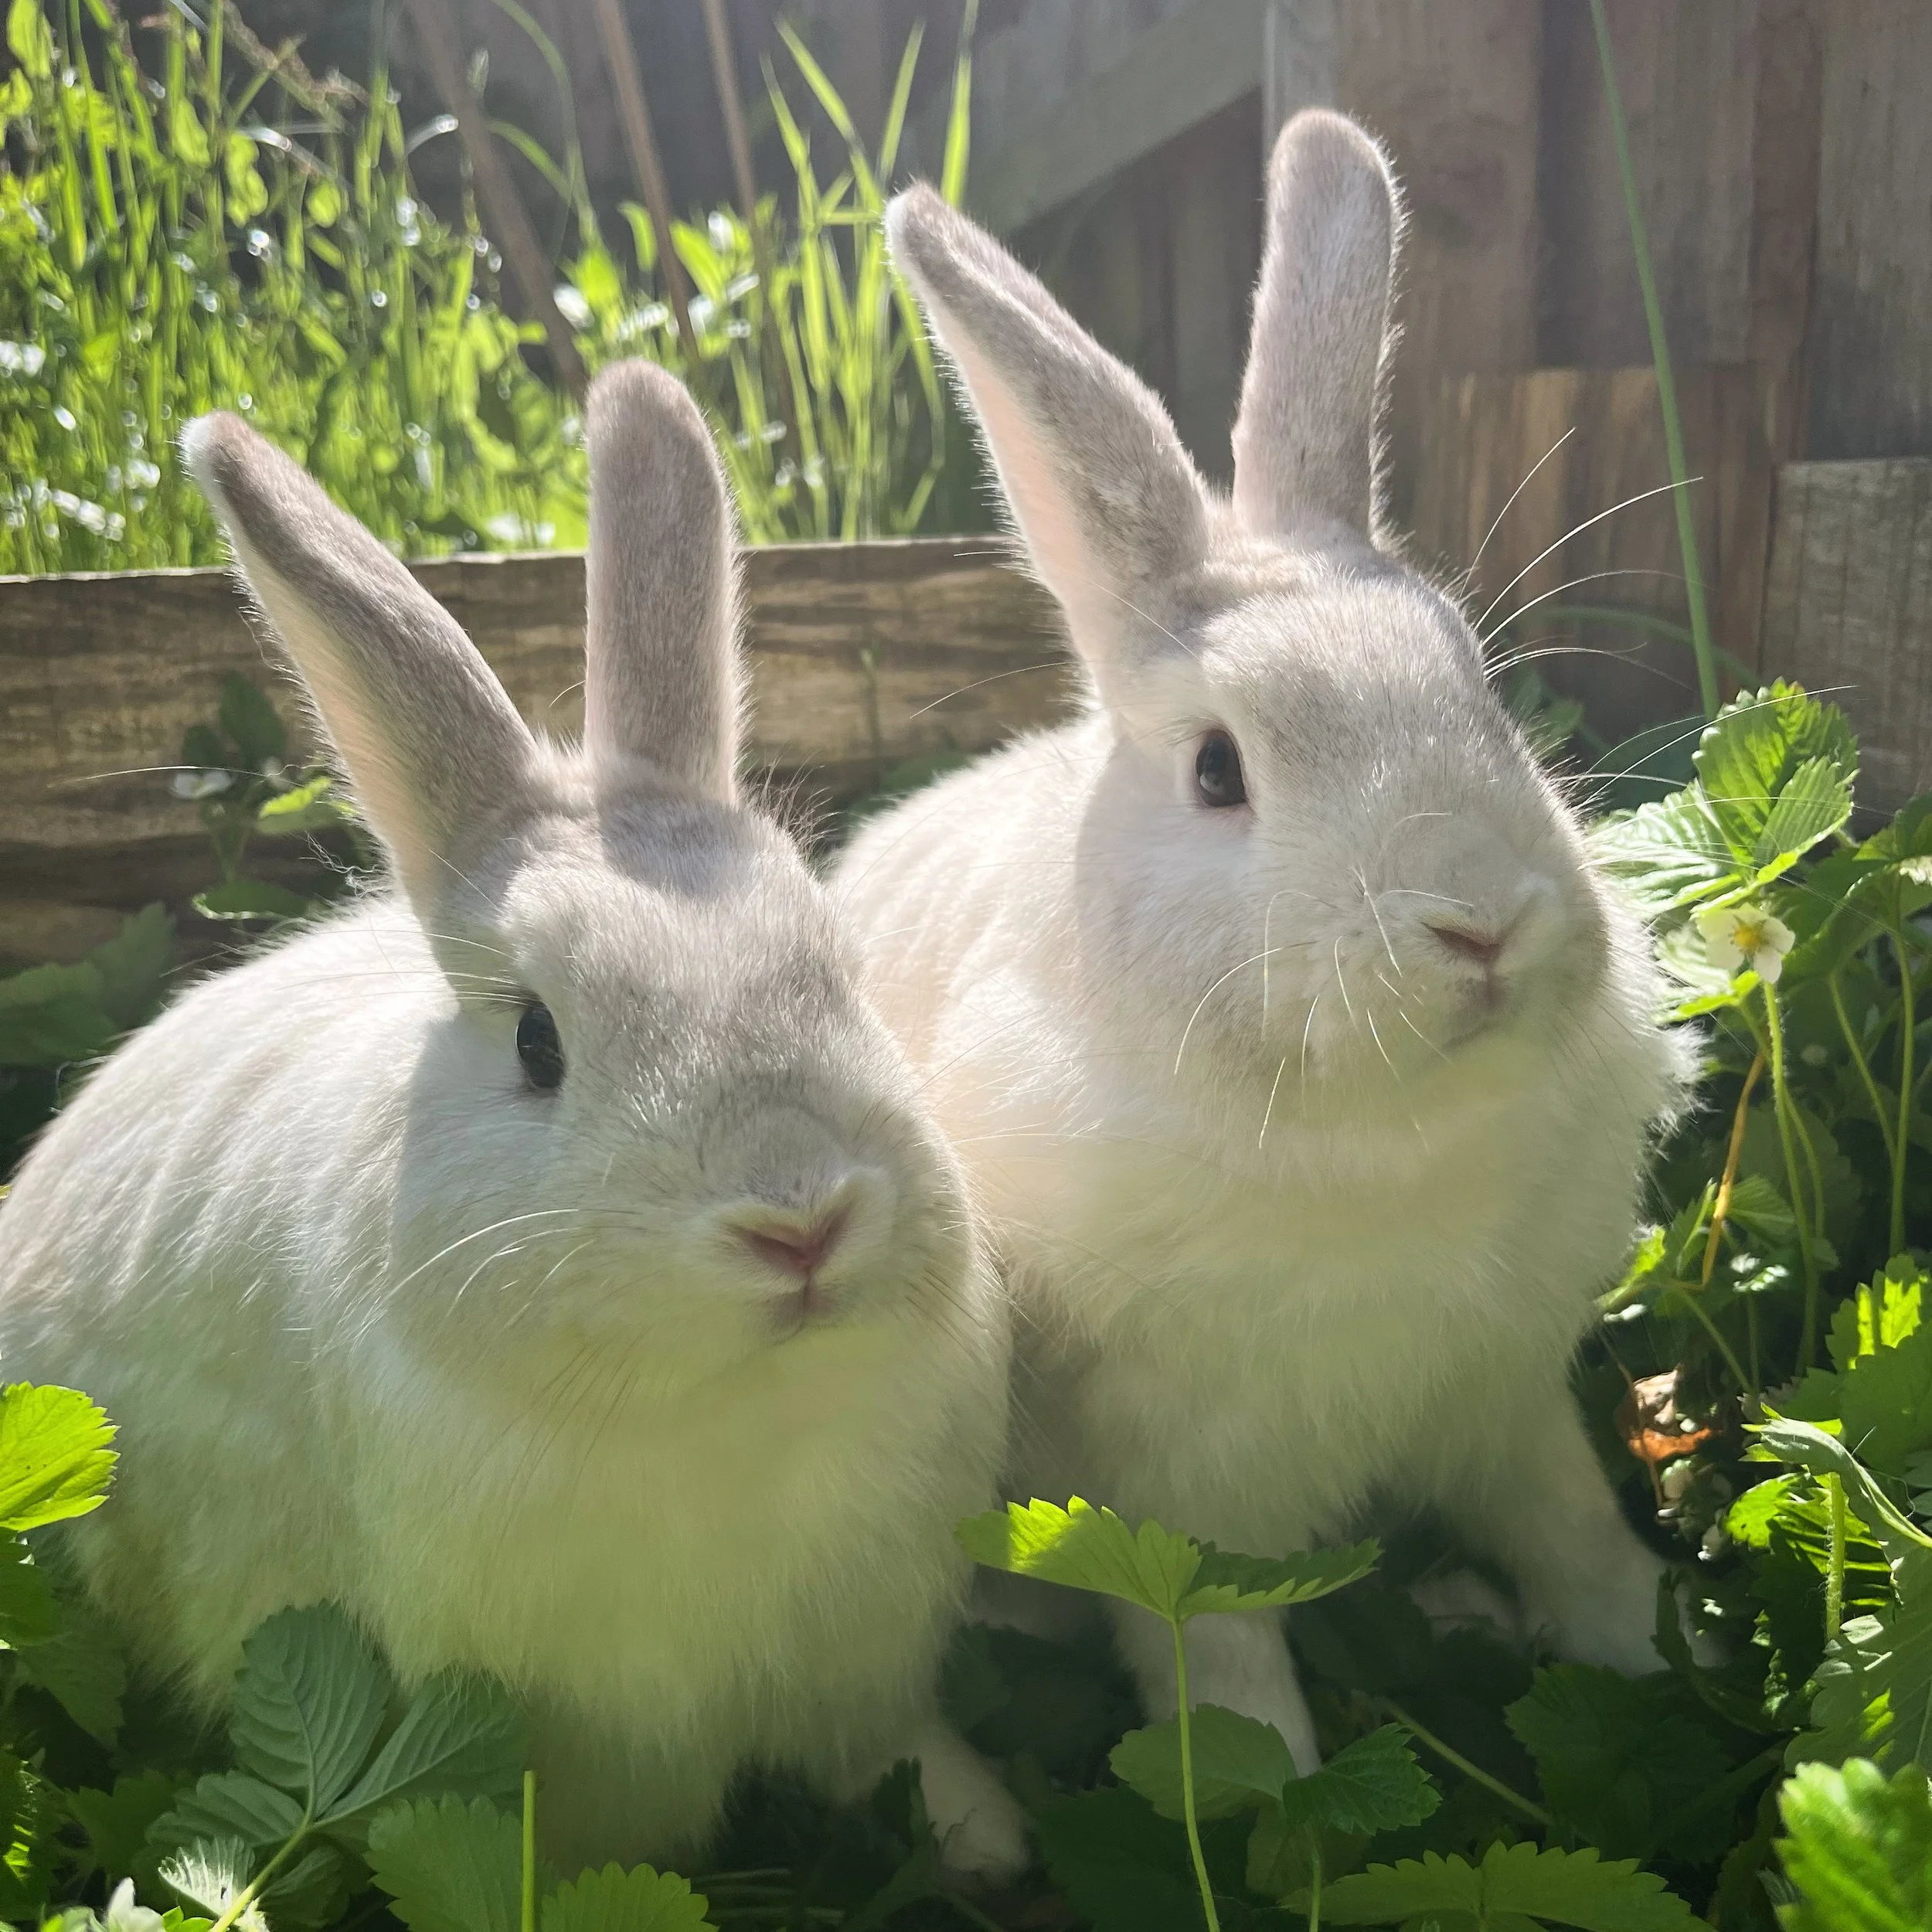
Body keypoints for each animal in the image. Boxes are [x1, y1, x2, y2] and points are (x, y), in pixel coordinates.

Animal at [0, 360, 1029, 1881]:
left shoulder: (864, 1661)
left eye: (839, 971)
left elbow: (894, 1749)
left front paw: (988, 1841)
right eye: (539, 1041)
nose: (801, 1221)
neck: (726, 1413)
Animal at [833, 111, 1698, 1773]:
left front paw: (1650, 1643)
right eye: (1218, 771)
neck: (1384, 1140)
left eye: (1478, 693)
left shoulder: (1506, 1397)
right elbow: (1215, 1653)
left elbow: (1567, 1525)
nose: (1479, 922)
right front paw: (1253, 1786)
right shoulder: (1181, 1479)